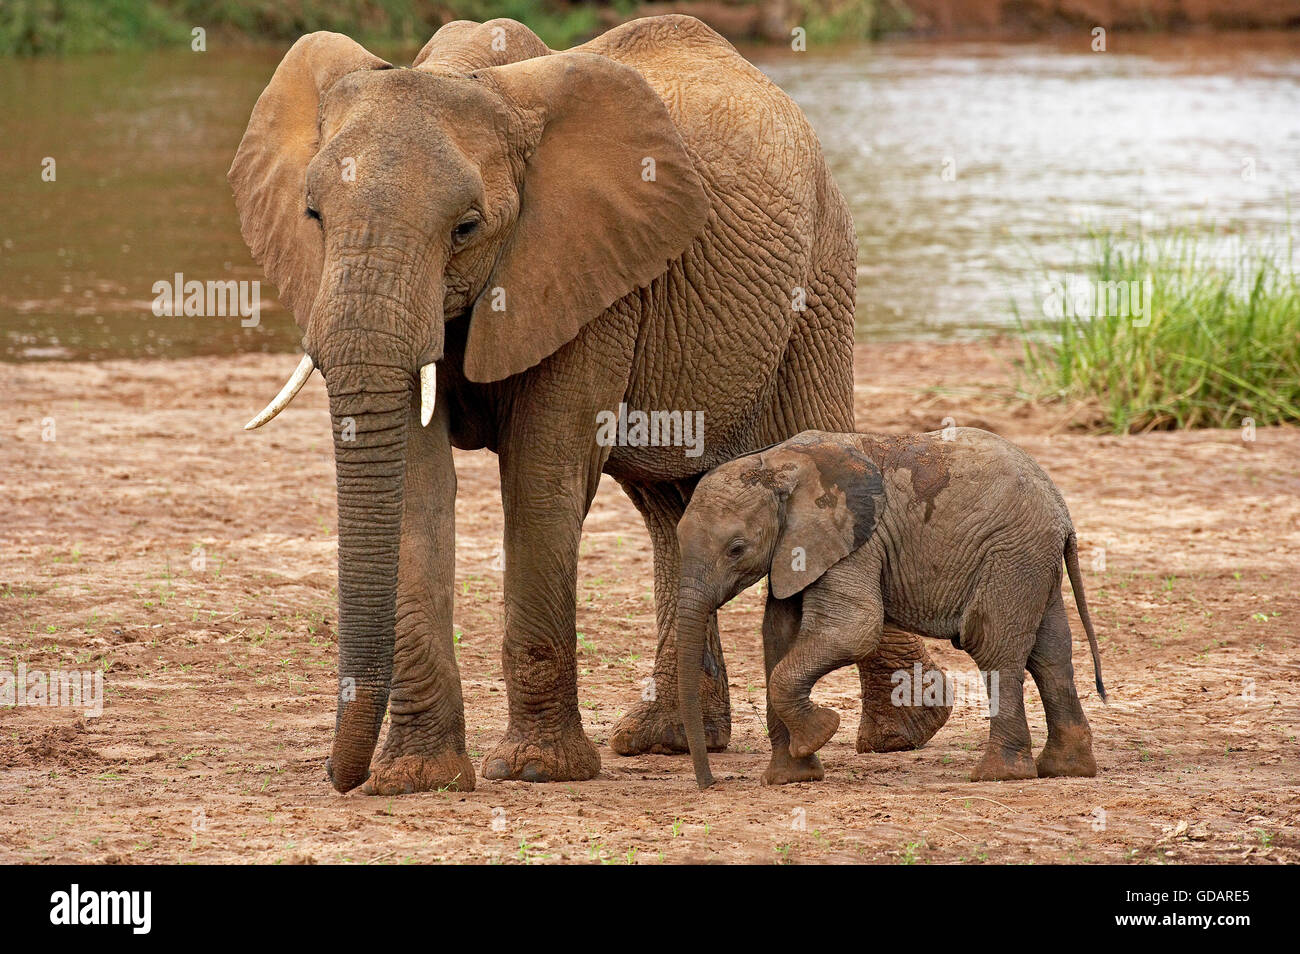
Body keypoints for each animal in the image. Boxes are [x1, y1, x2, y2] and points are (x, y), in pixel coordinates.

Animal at [228, 15, 952, 794]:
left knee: (815, 444)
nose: (342, 777)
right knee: (670, 505)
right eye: (312, 214)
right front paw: (417, 780)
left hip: (821, 276)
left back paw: (906, 731)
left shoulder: (590, 277)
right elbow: (418, 489)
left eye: (466, 228)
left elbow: (542, 475)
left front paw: (534, 770)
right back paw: (665, 740)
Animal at [675, 428, 1106, 789]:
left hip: (1011, 553)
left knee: (993, 644)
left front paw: (824, 730)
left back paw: (998, 775)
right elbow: (777, 635)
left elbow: (853, 628)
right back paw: (1066, 769)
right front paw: (789, 778)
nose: (710, 783)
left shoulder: (856, 541)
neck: (776, 462)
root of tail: (1063, 513)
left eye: (736, 549)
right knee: (1050, 653)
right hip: (1032, 559)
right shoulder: (797, 549)